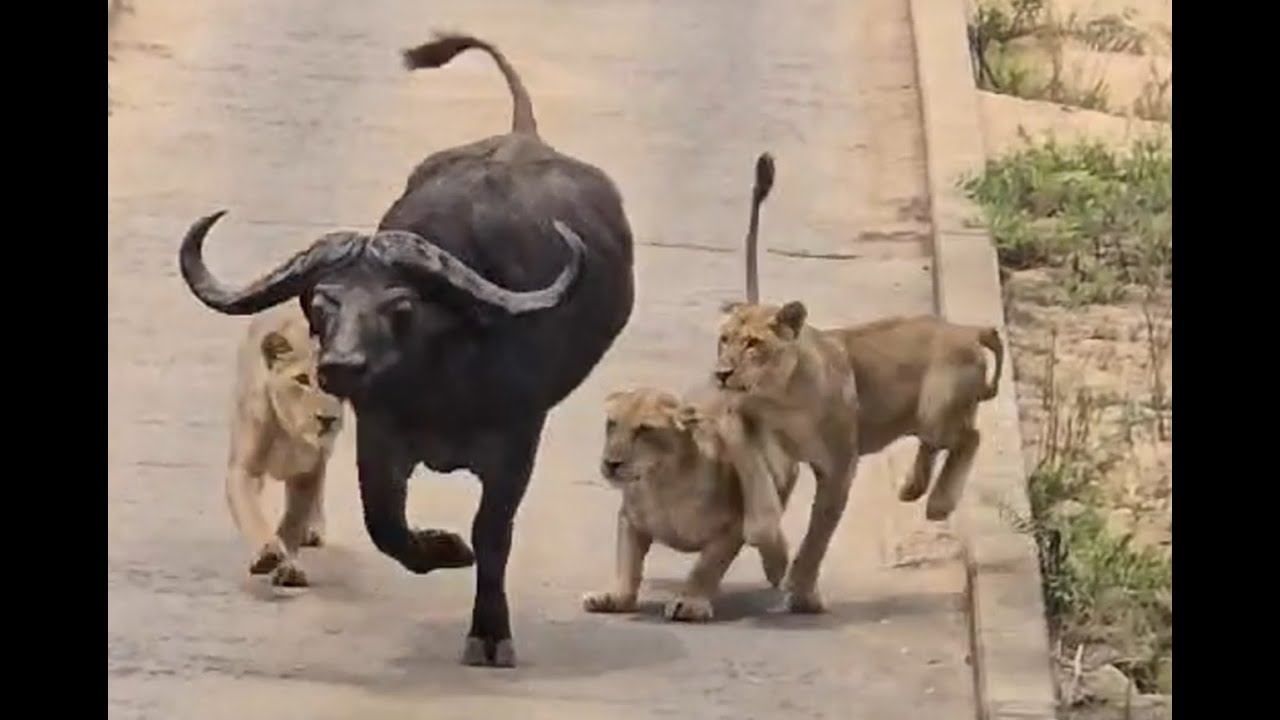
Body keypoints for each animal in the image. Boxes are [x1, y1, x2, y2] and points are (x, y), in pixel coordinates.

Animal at [224, 304, 346, 587]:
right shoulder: (242, 470)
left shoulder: (308, 472)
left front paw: (289, 567)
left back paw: (313, 529)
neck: (290, 431)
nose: (328, 419)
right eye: (302, 379)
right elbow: (252, 514)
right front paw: (267, 553)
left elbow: (292, 523)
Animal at [583, 385, 800, 622]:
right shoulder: (630, 520)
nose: (611, 463)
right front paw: (615, 598)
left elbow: (706, 567)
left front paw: (689, 603)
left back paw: (778, 565)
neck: (662, 485)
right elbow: (627, 563)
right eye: (612, 423)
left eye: (645, 429)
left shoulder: (732, 527)